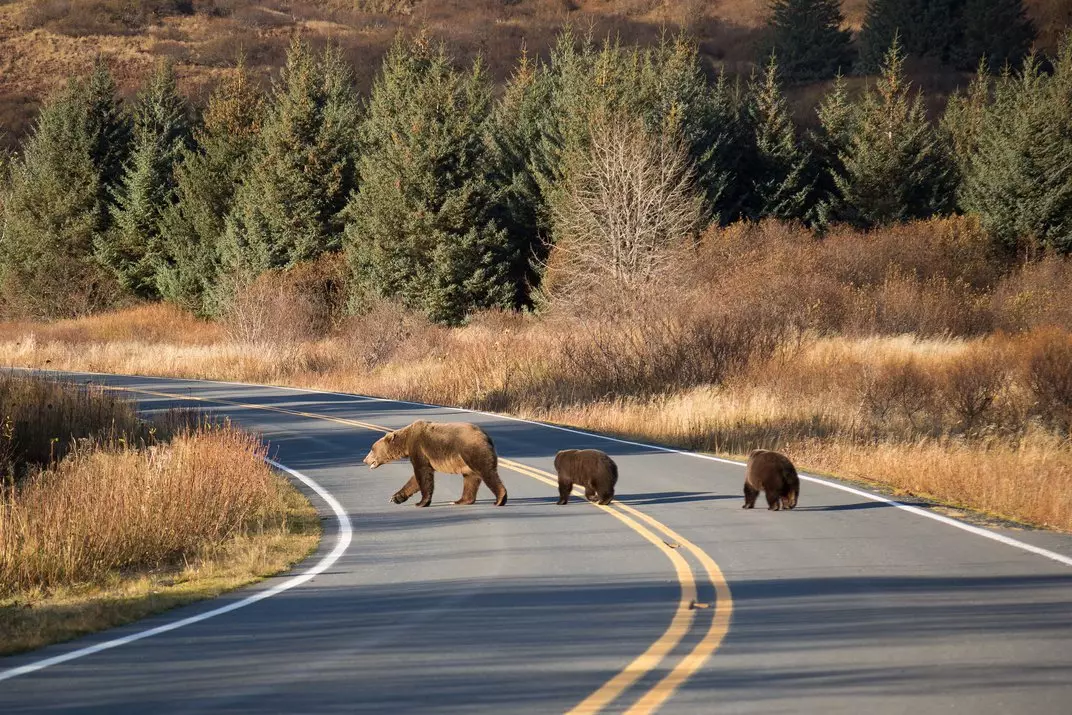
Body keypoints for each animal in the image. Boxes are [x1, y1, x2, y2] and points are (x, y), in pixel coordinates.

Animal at [364, 420, 505, 508]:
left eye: (372, 449)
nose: (365, 460)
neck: (406, 442)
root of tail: (487, 437)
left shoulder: (418, 448)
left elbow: (422, 473)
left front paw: (421, 503)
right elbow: (415, 480)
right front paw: (396, 497)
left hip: (472, 450)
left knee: (486, 472)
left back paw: (499, 499)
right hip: (466, 461)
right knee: (471, 478)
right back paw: (460, 501)